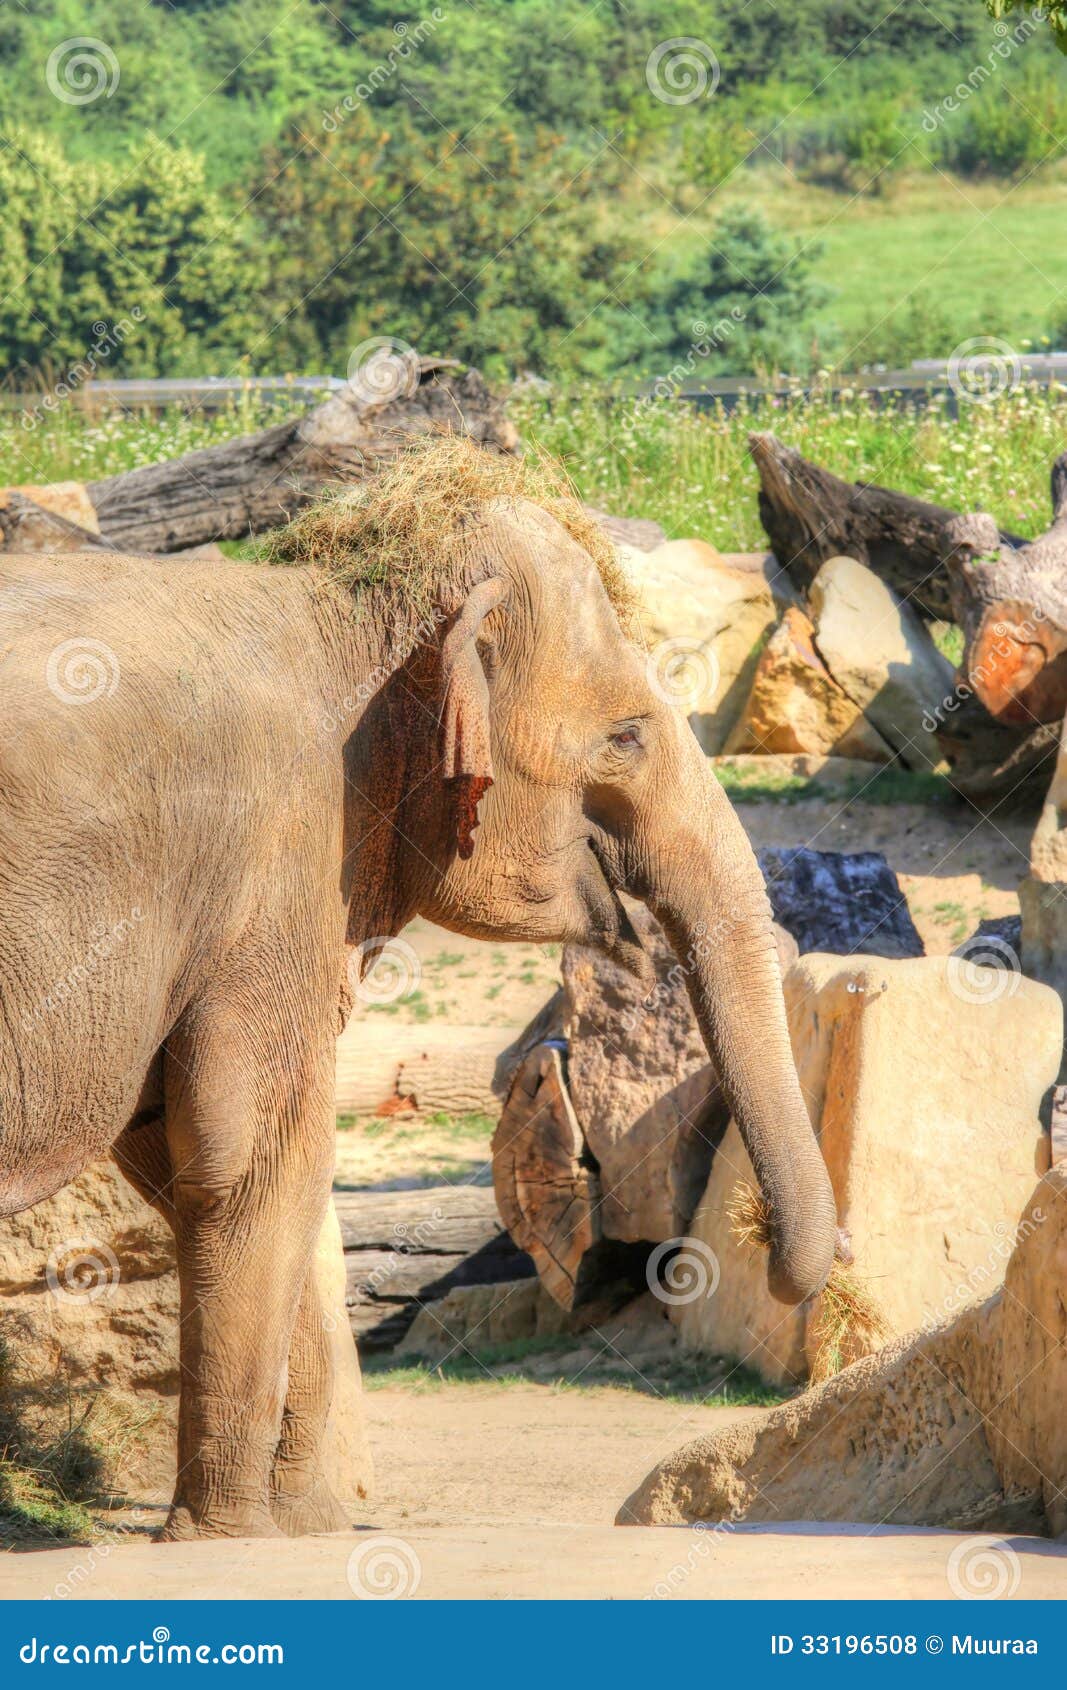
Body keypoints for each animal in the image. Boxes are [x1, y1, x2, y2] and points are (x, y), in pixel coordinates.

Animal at [0, 440, 836, 1540]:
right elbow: (254, 1155)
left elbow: (182, 1157)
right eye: (625, 738)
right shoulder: (274, 866)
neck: (335, 604)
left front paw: (307, 1526)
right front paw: (232, 1536)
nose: (771, 1257)